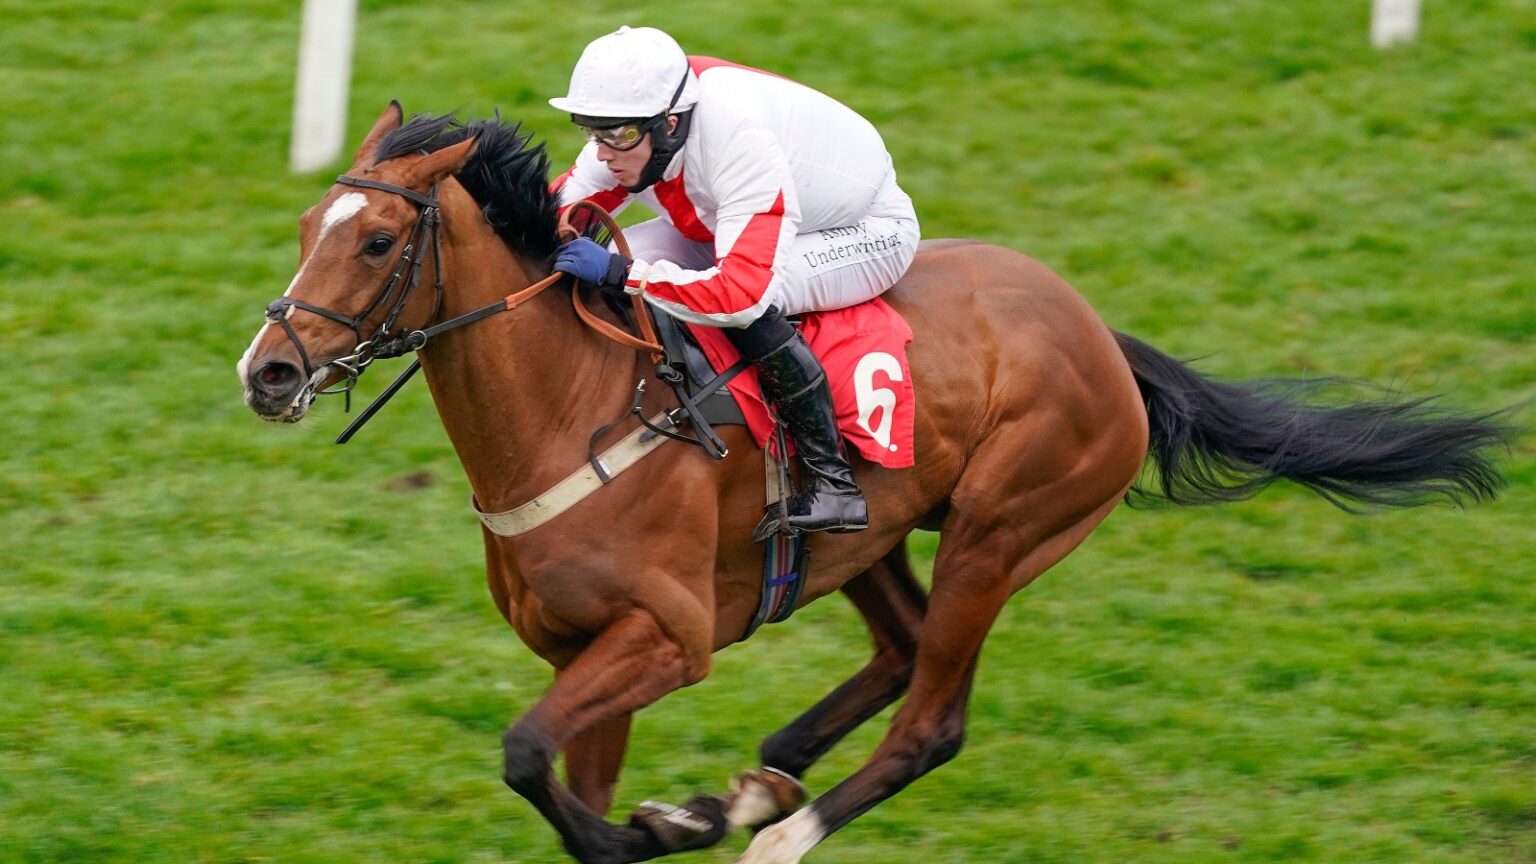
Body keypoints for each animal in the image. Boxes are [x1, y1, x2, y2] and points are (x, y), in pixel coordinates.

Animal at [237, 104, 1511, 864]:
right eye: (305, 221)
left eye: (374, 241)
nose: (269, 372)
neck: (568, 412)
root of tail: (1100, 334)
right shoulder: (584, 653)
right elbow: (559, 773)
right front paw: (682, 808)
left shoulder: (666, 638)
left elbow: (534, 765)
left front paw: (670, 825)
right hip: (870, 535)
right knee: (896, 648)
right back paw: (761, 789)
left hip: (1004, 530)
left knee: (931, 719)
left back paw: (776, 829)